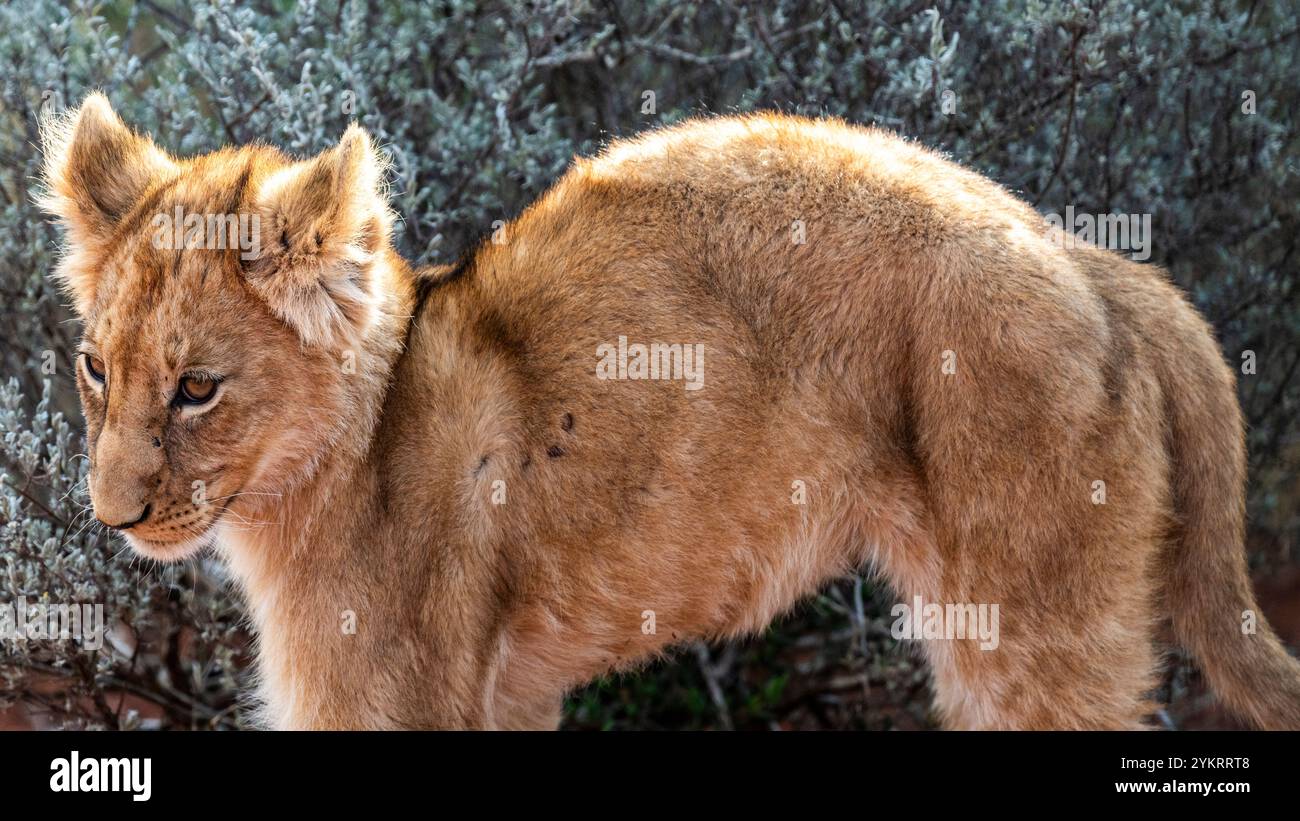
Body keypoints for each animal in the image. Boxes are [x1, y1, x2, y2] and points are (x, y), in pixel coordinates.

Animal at [37, 93, 1300, 729]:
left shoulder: (388, 702)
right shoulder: (500, 699)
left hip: (1034, 628)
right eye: (96, 368)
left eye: (198, 387)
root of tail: (1095, 258)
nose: (110, 517)